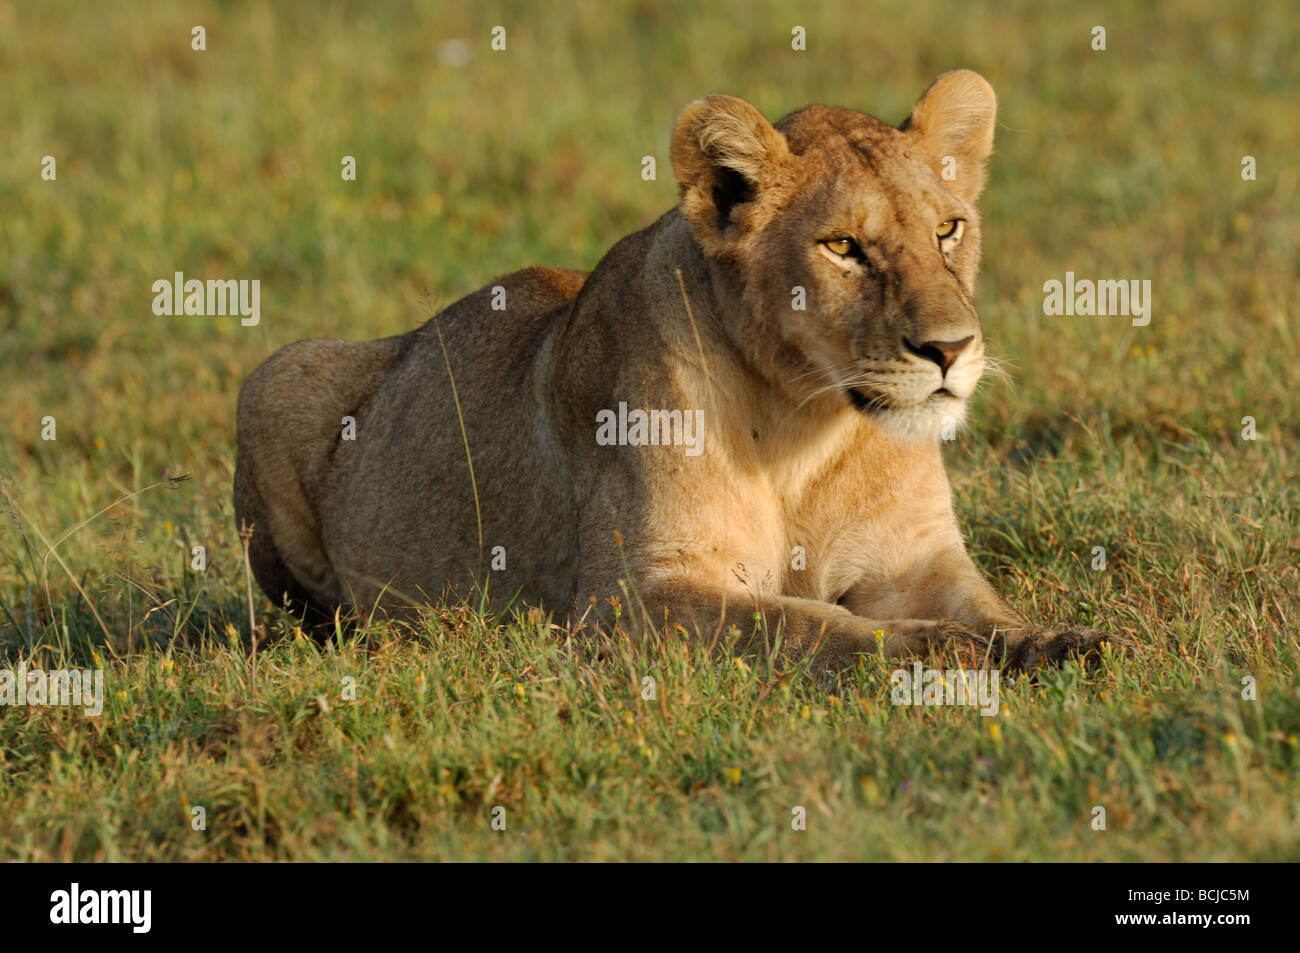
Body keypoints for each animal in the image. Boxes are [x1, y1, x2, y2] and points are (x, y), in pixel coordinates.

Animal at [234, 70, 1125, 673]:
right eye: (843, 246)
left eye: (948, 229)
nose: (951, 349)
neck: (807, 424)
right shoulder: (633, 596)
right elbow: (811, 624)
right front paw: (942, 652)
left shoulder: (917, 560)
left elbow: (989, 606)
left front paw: (1053, 641)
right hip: (277, 372)